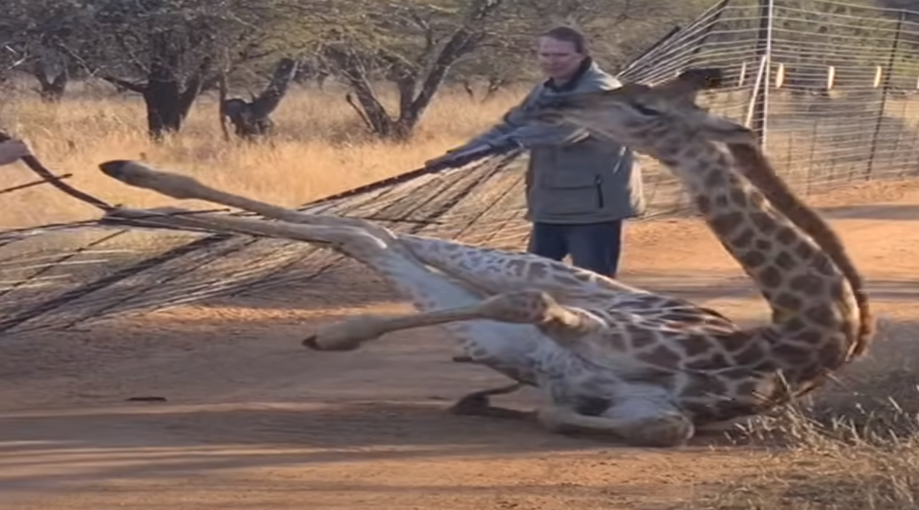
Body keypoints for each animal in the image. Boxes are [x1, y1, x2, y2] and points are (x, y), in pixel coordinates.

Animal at [91, 70, 868, 447]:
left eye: (648, 110)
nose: (563, 104)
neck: (794, 340)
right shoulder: (589, 321)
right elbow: (539, 315)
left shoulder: (640, 392)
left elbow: (659, 424)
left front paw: (529, 409)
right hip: (540, 271)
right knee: (372, 229)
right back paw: (126, 185)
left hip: (500, 300)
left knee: (367, 234)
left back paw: (129, 201)